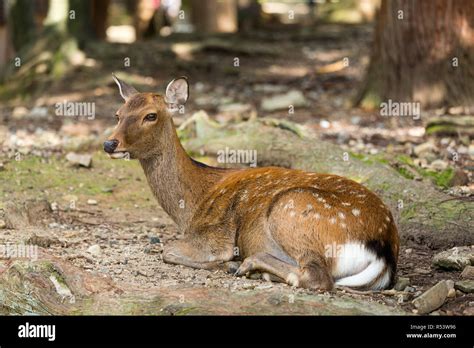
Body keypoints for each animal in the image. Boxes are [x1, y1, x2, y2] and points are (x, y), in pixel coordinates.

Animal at [104, 75, 400, 290]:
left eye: (151, 115)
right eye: (117, 114)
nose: (109, 143)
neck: (190, 206)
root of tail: (383, 248)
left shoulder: (215, 235)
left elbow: (168, 250)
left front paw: (226, 264)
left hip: (291, 209)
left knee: (317, 277)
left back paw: (245, 265)